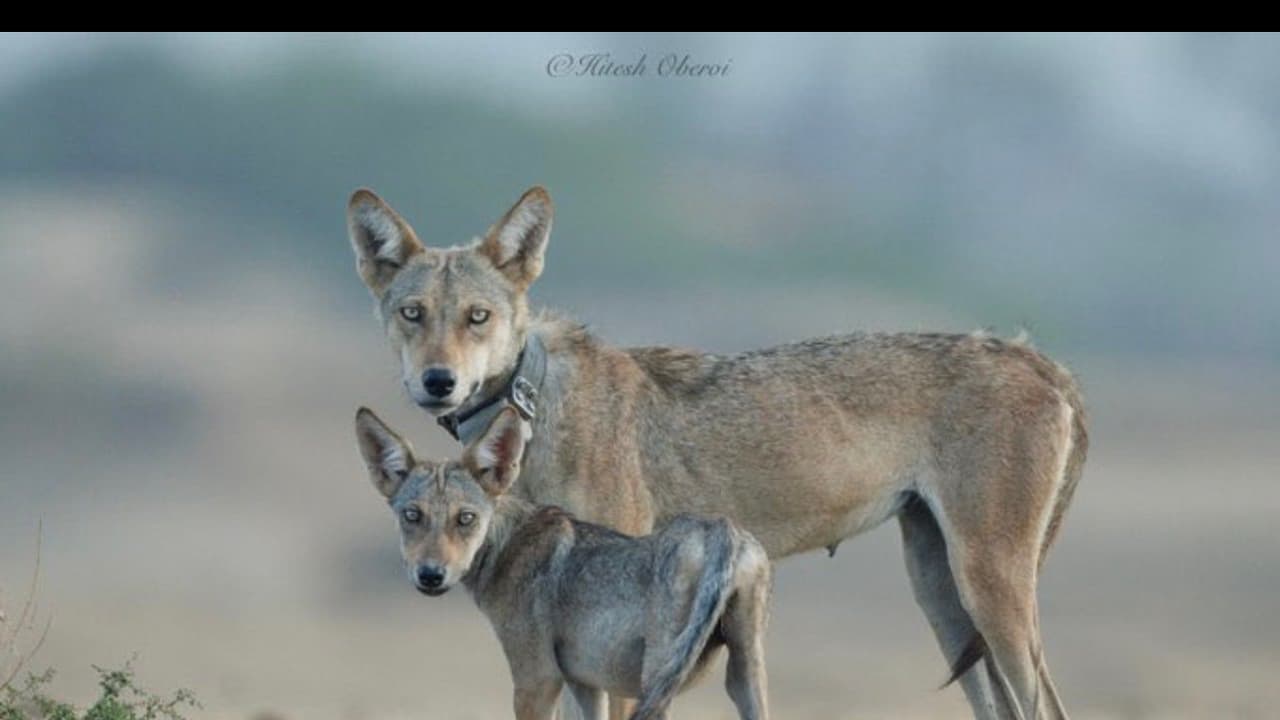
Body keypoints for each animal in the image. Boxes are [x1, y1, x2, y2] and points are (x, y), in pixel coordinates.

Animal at [355, 406, 772, 720]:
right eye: (412, 516)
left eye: (466, 518)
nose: (430, 575)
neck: (505, 546)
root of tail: (721, 529)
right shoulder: (585, 684)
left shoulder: (537, 680)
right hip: (742, 679)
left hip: (655, 684)